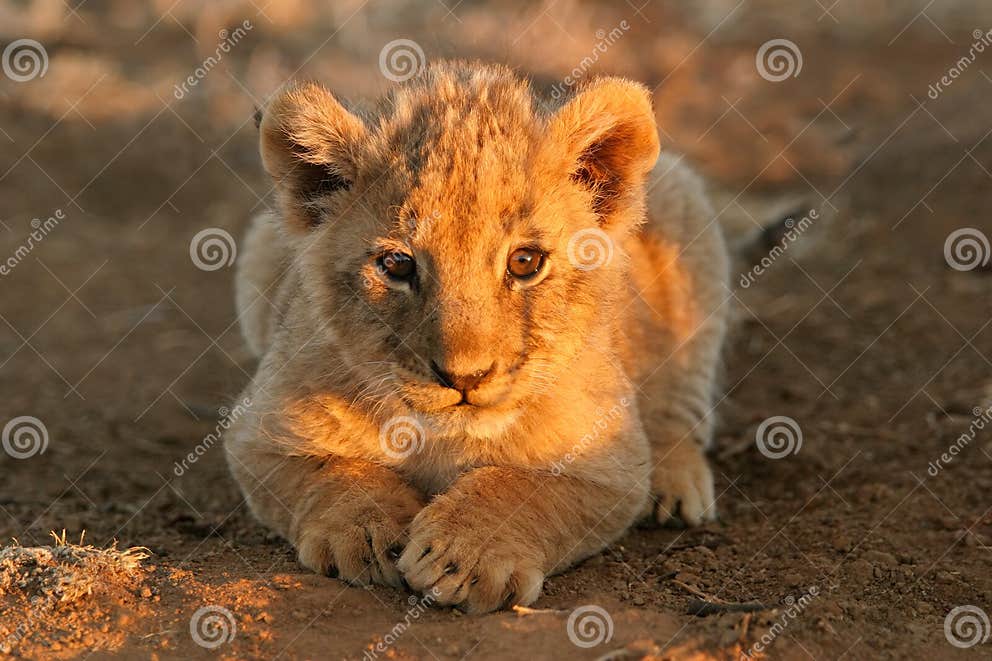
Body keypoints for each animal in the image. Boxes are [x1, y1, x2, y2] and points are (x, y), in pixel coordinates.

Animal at [225, 61, 729, 613]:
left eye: (525, 262)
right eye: (397, 264)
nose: (464, 377)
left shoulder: (613, 467)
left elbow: (526, 488)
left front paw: (466, 555)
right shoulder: (260, 435)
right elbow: (332, 472)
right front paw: (366, 534)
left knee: (681, 402)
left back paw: (676, 485)